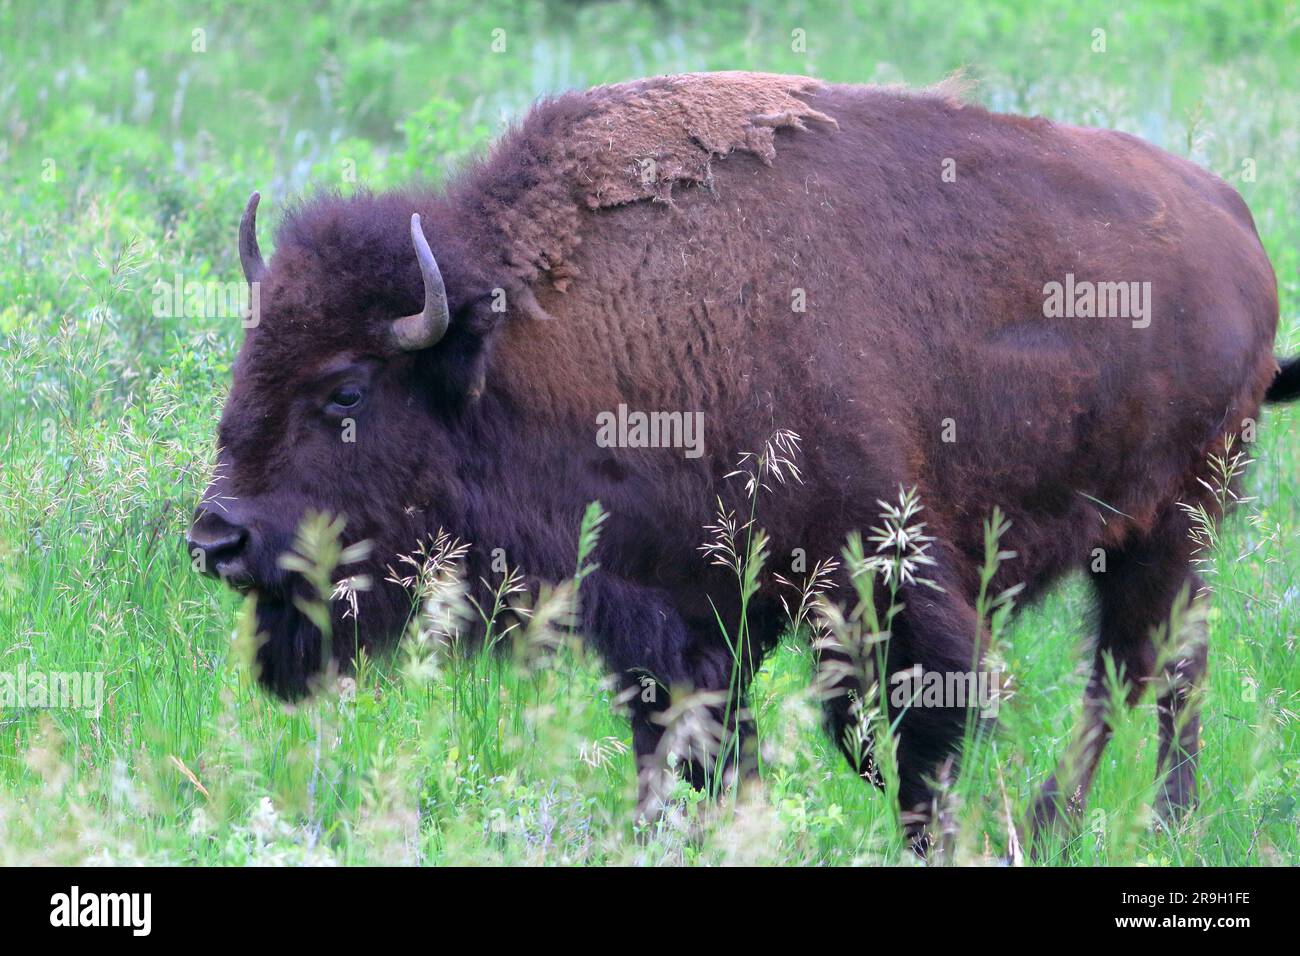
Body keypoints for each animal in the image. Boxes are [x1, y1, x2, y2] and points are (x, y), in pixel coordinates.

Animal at [187, 72, 1298, 848]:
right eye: (248, 358)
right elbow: (695, 746)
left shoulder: (881, 579)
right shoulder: (678, 612)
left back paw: (1115, 820)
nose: (216, 536)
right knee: (1142, 673)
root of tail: (1234, 226)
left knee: (1151, 672)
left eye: (344, 390)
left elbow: (907, 739)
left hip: (1175, 518)